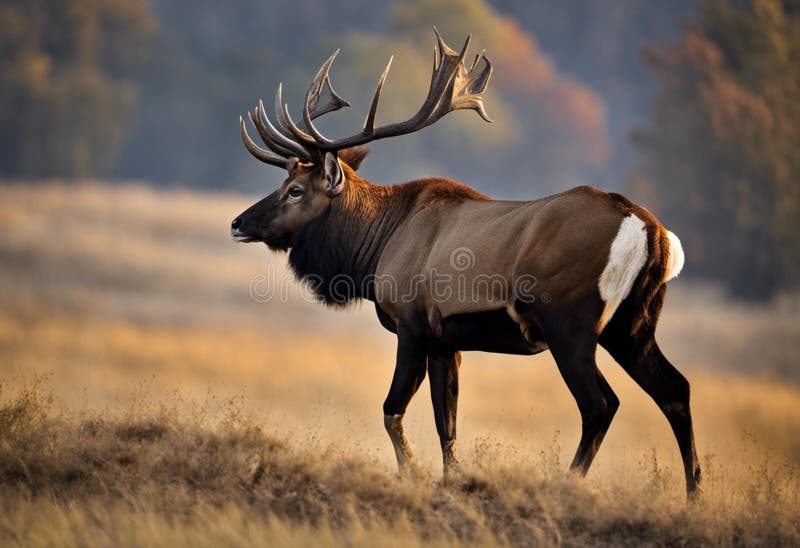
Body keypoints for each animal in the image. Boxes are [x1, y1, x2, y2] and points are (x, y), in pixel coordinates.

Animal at [231, 29, 701, 497]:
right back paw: (693, 493)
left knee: (601, 403)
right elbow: (447, 423)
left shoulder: (412, 324)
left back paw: (567, 482)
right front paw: (450, 481)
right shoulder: (446, 339)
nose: (238, 223)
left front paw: (411, 474)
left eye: (294, 190)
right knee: (675, 389)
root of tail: (654, 233)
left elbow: (392, 409)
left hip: (571, 324)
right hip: (633, 324)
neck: (376, 247)